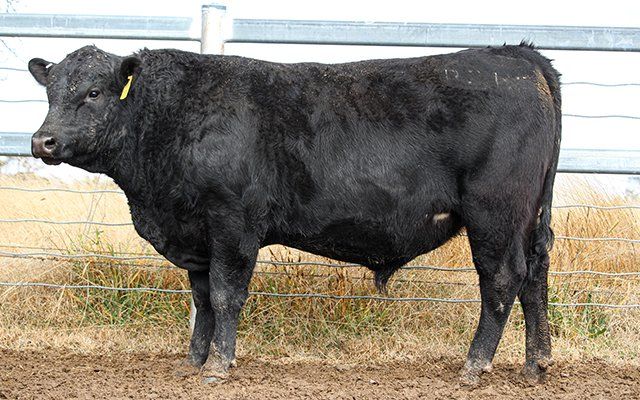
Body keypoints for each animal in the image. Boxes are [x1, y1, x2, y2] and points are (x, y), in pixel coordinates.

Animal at [29, 42, 561, 386]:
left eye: (94, 92)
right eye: (50, 91)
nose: (42, 141)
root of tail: (516, 53)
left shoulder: (231, 223)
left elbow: (225, 295)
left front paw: (219, 367)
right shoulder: (196, 234)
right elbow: (201, 298)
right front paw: (193, 362)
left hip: (494, 212)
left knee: (502, 280)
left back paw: (474, 368)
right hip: (529, 219)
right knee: (535, 276)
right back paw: (536, 365)